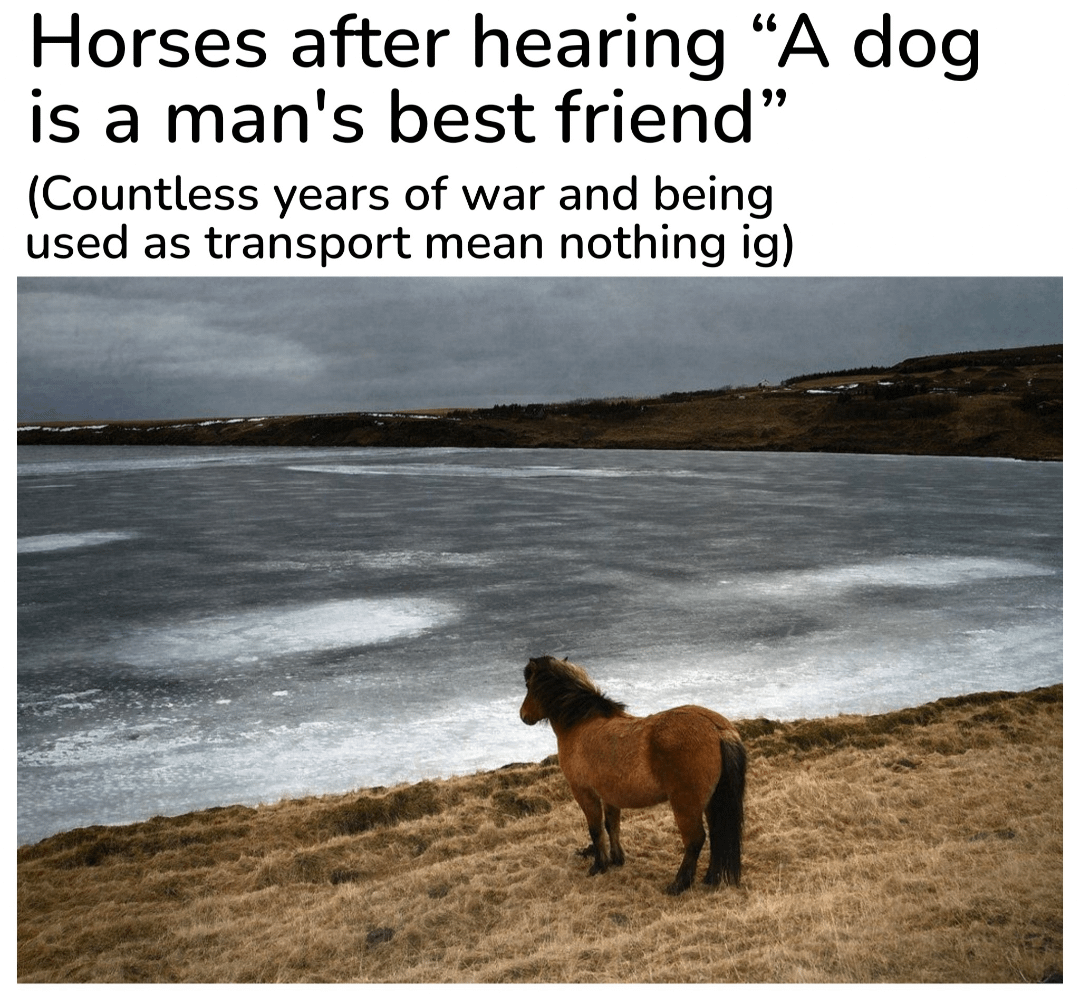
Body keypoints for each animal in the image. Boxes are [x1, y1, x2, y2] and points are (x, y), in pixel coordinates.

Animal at [519, 655, 746, 895]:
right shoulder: (609, 794)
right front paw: (617, 859)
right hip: (712, 801)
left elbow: (595, 829)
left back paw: (678, 884)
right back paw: (710, 877)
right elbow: (612, 825)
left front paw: (599, 866)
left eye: (528, 685)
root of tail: (716, 728)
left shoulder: (584, 792)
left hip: (686, 805)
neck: (581, 724)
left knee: (695, 840)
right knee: (716, 833)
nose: (523, 716)